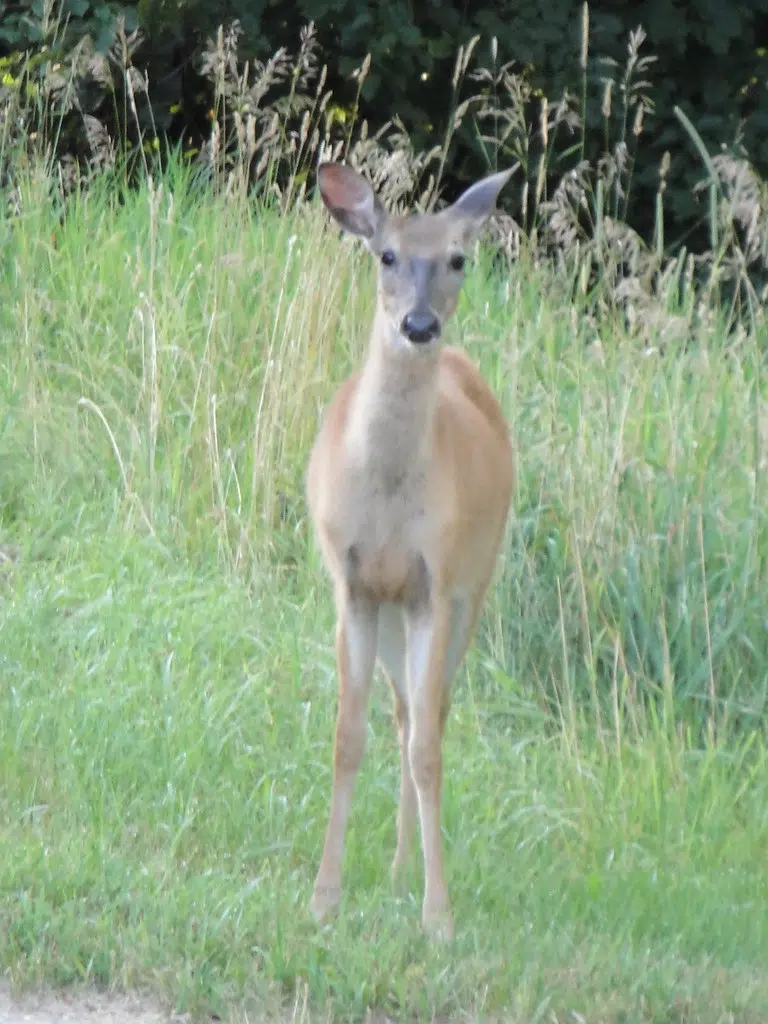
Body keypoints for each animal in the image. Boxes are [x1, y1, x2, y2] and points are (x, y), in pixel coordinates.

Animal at [306, 161, 515, 939]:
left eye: (458, 259)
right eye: (386, 255)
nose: (419, 325)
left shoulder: (434, 583)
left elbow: (429, 749)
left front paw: (439, 915)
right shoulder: (354, 584)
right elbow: (347, 735)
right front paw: (324, 897)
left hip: (473, 589)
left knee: (431, 715)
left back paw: (407, 874)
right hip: (395, 610)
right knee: (399, 714)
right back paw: (395, 869)